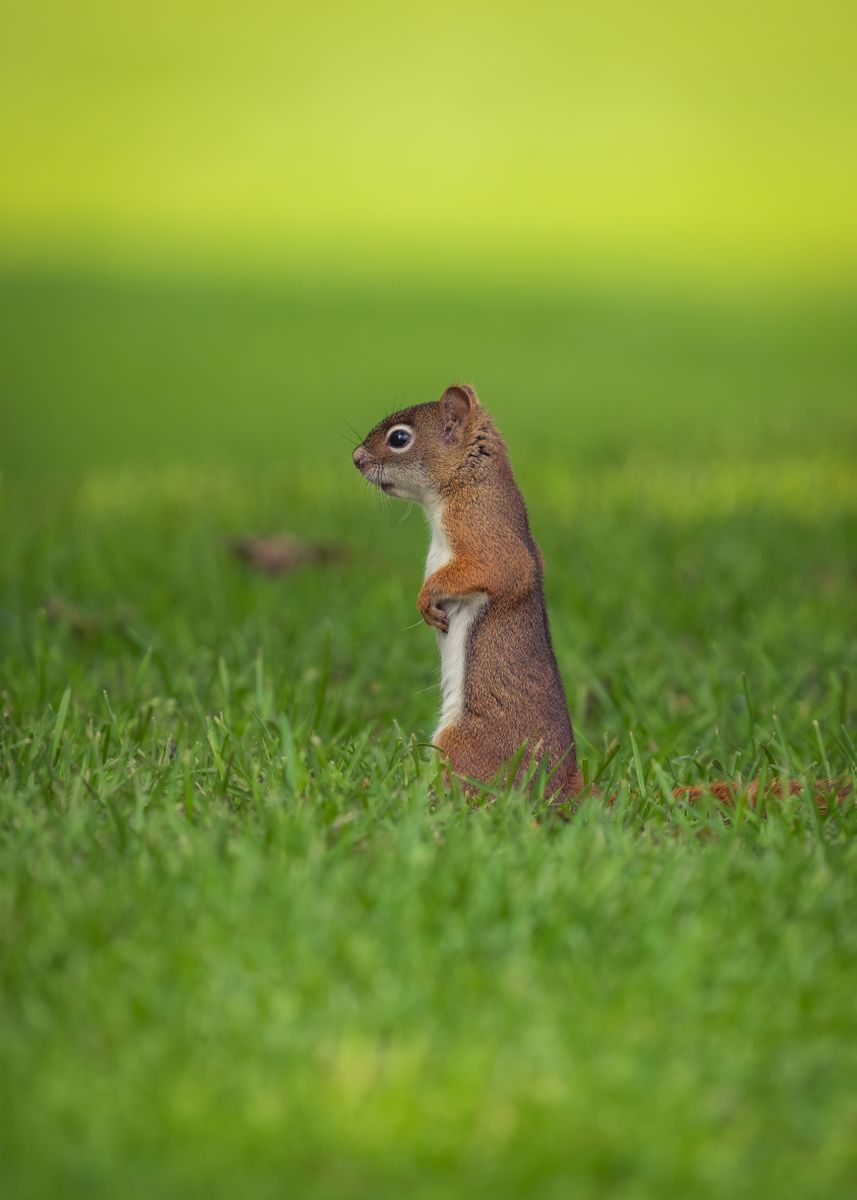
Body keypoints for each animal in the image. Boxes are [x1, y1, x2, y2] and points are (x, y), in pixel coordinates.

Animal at [353, 384, 850, 810]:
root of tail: (563, 788)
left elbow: (498, 570)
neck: (463, 483)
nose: (356, 459)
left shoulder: (482, 528)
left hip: (460, 745)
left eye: (400, 438)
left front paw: (426, 598)